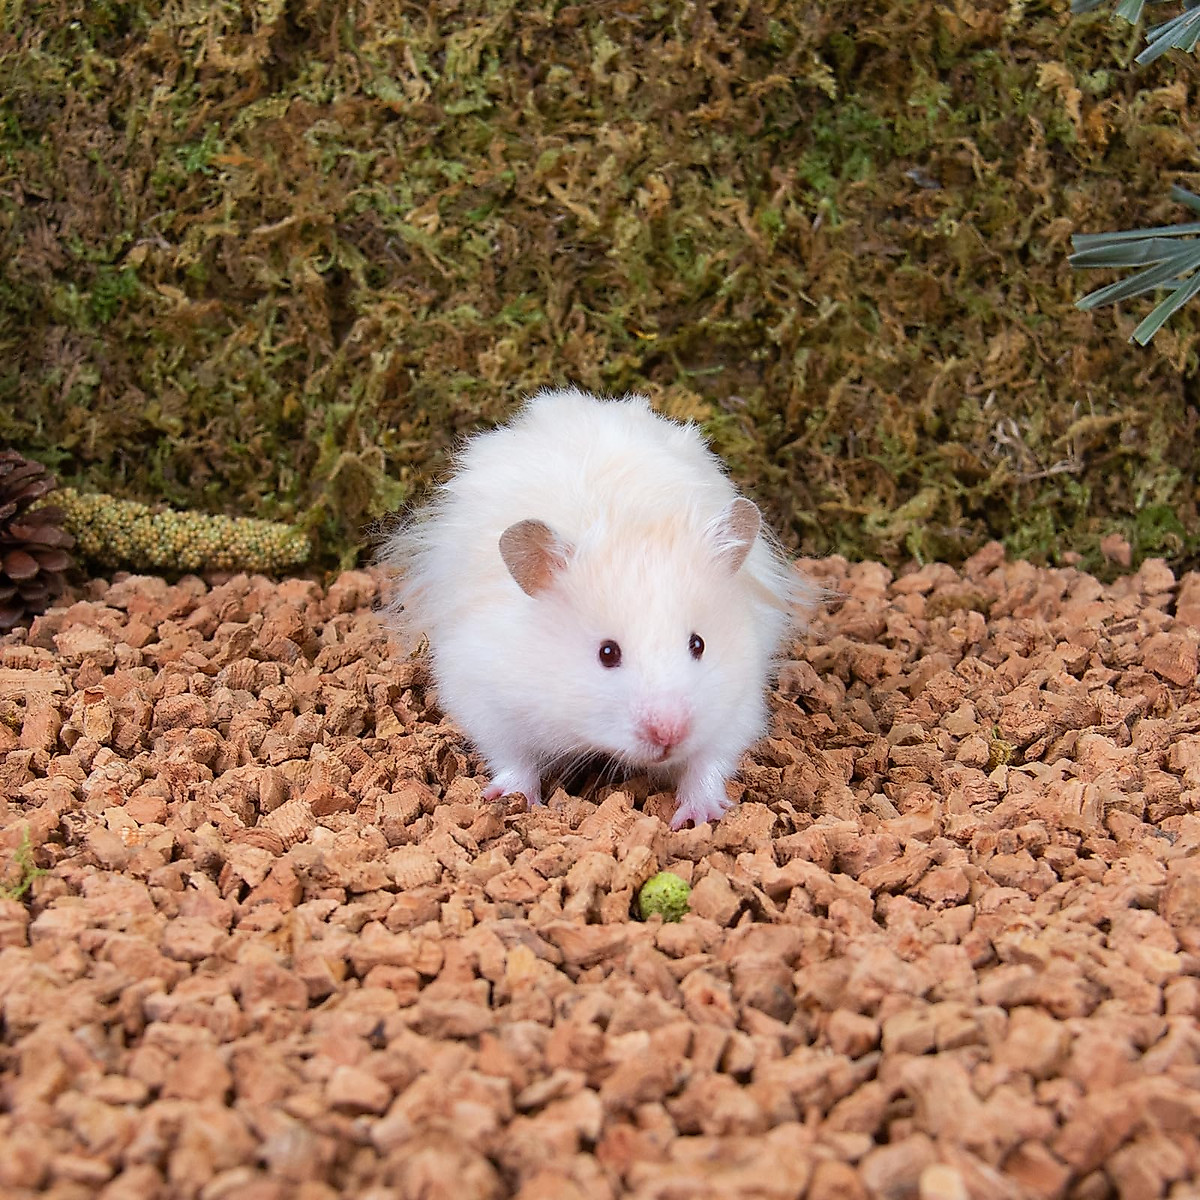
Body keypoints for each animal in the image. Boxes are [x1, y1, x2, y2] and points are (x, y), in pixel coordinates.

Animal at [379, 387, 817, 829]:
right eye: (608, 653)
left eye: (699, 644)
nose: (669, 735)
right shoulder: (486, 697)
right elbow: (511, 756)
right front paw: (512, 799)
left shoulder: (739, 701)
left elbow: (710, 761)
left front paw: (698, 818)